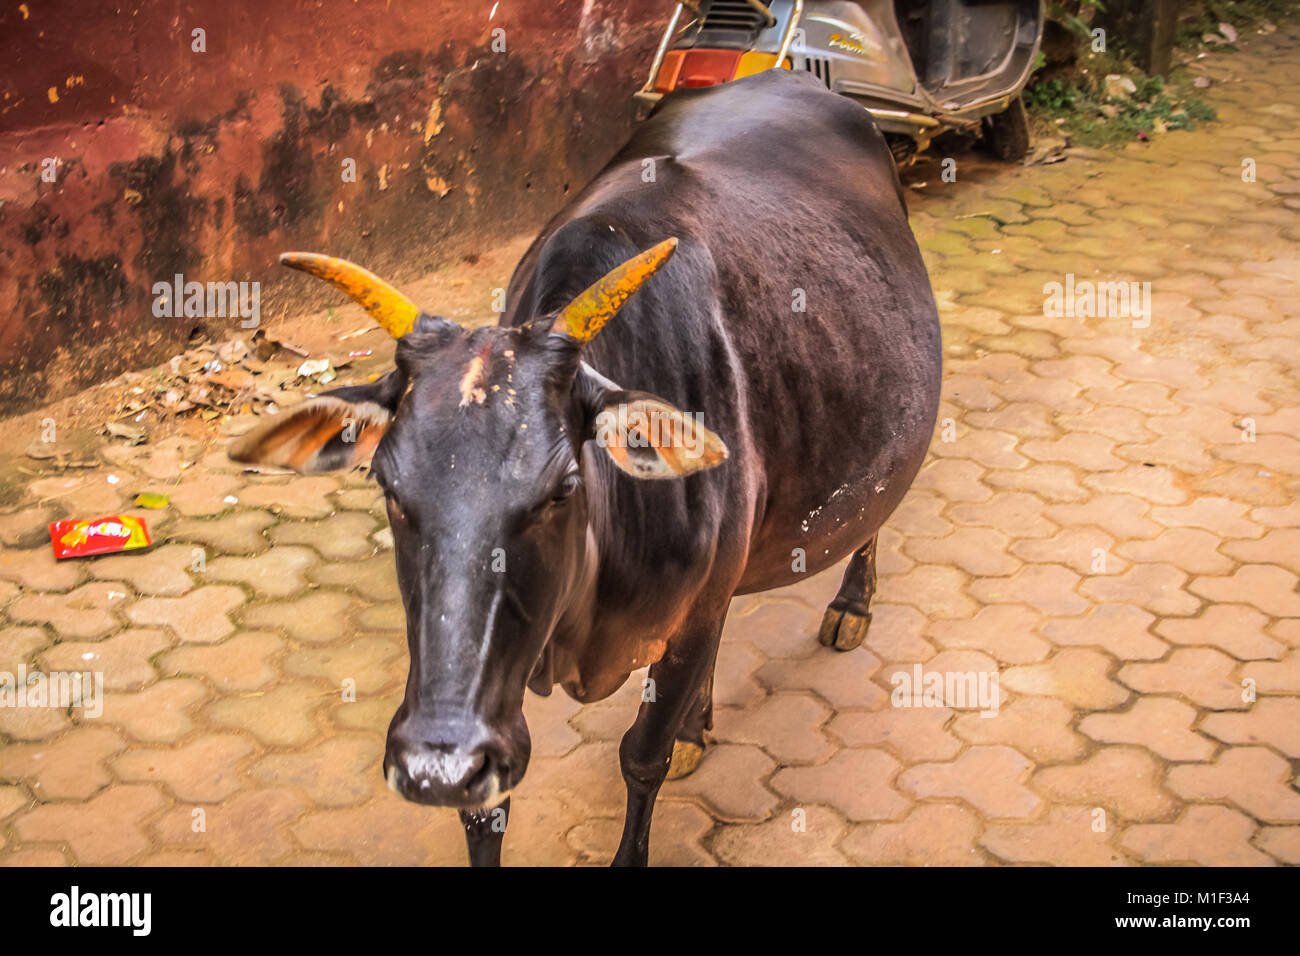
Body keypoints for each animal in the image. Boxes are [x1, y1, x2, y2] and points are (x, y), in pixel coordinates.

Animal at [230, 68, 942, 866]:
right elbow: (486, 809)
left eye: (564, 488)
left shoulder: (686, 619)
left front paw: (668, 748)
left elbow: (642, 756)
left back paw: (851, 605)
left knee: (874, 512)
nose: (438, 761)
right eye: (388, 486)